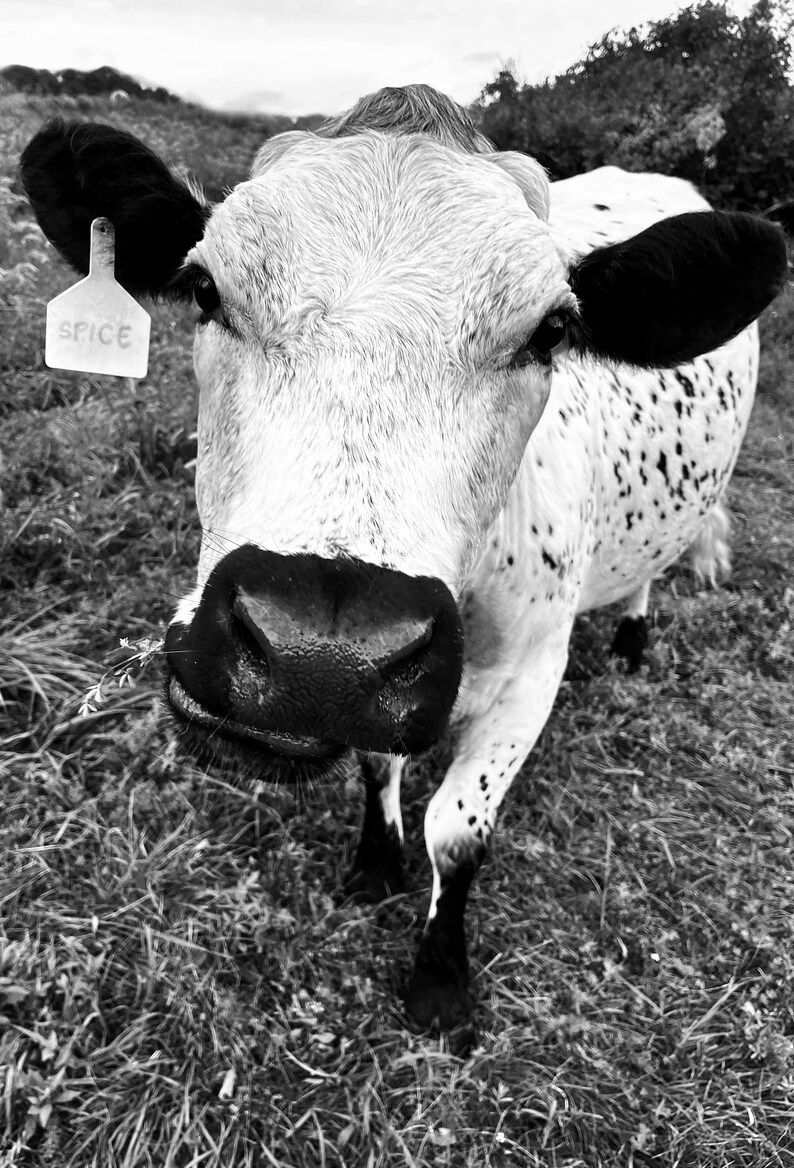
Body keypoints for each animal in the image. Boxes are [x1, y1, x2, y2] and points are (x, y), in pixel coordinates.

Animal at [20, 84, 787, 1035]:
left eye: (553, 330)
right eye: (204, 288)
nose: (317, 655)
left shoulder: (534, 673)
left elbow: (457, 834)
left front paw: (439, 972)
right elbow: (377, 762)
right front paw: (374, 858)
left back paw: (635, 637)